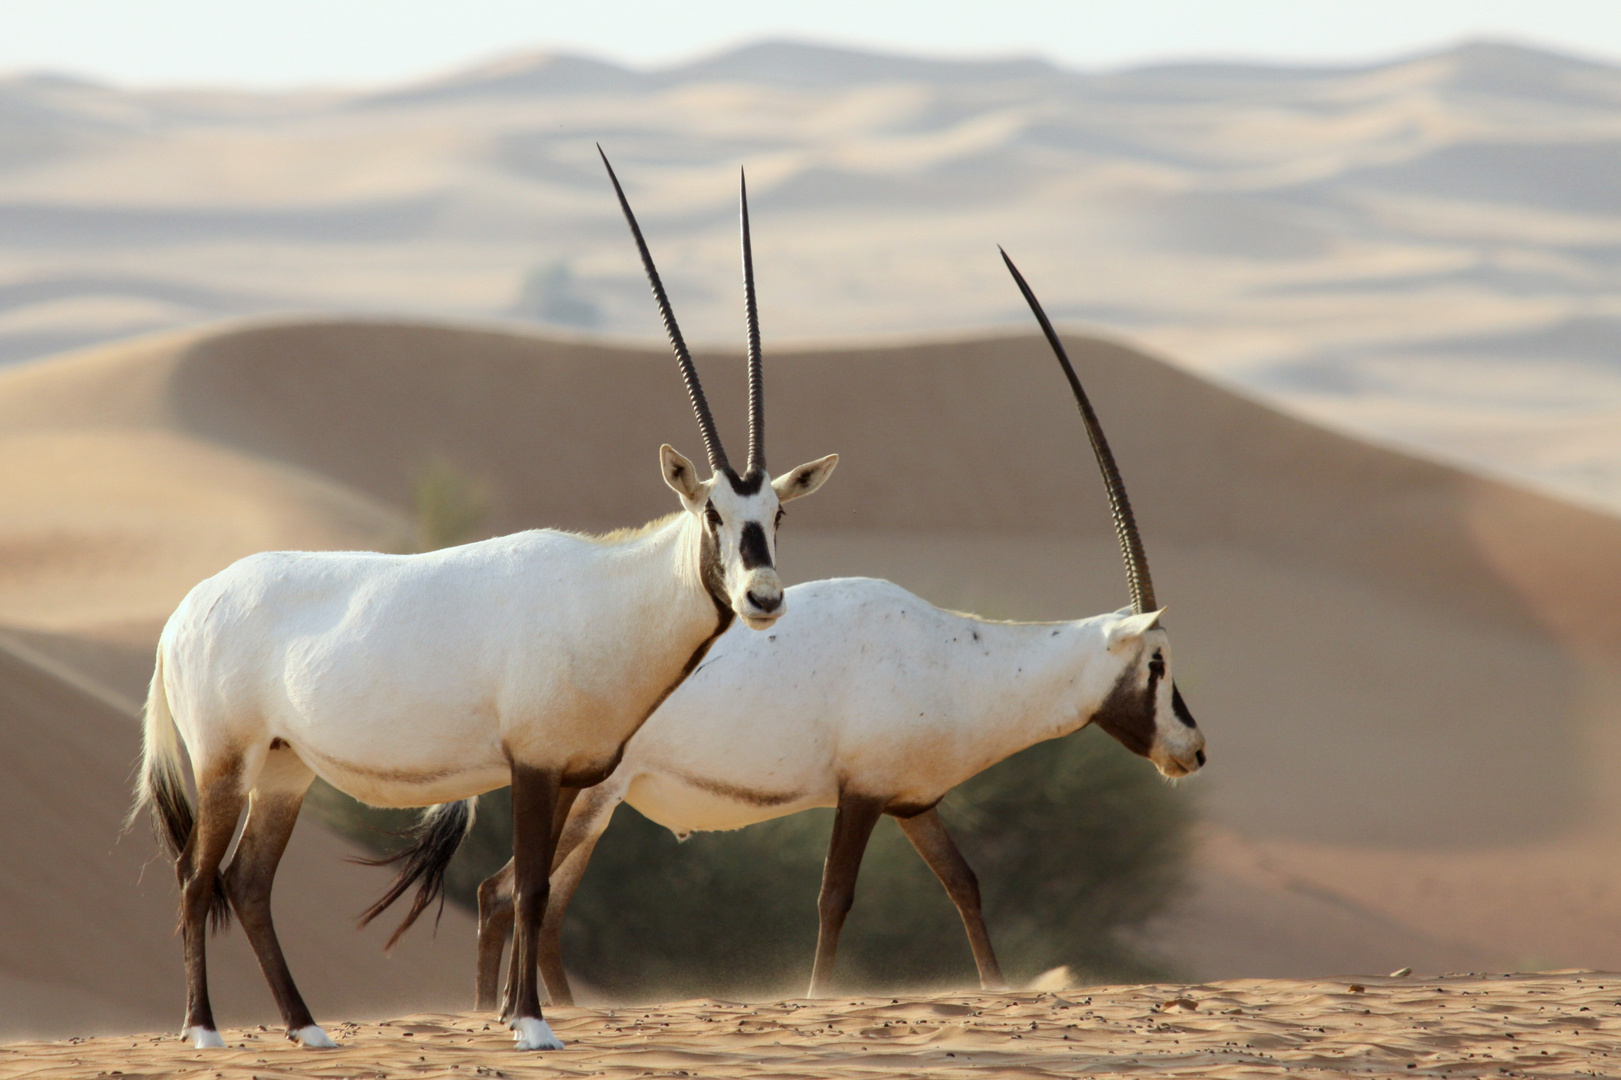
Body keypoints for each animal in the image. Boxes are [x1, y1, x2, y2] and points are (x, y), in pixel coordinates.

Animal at [128, 147, 842, 1044]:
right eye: (710, 512)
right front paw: (531, 1023)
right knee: (199, 881)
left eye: (775, 513)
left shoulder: (568, 775)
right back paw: (204, 1029)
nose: (763, 598)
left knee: (250, 884)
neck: (607, 597)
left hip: (285, 769)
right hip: (225, 761)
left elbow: (525, 889)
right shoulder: (530, 768)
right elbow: (528, 889)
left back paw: (307, 1027)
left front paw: (514, 1016)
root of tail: (185, 612)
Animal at [385, 249, 1212, 998]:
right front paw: (818, 1000)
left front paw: (993, 992)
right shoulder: (861, 793)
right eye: (1156, 663)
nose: (1193, 750)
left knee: (540, 905)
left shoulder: (913, 801)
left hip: (592, 803)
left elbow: (965, 885)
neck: (959, 658)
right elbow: (834, 898)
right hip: (589, 798)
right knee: (503, 893)